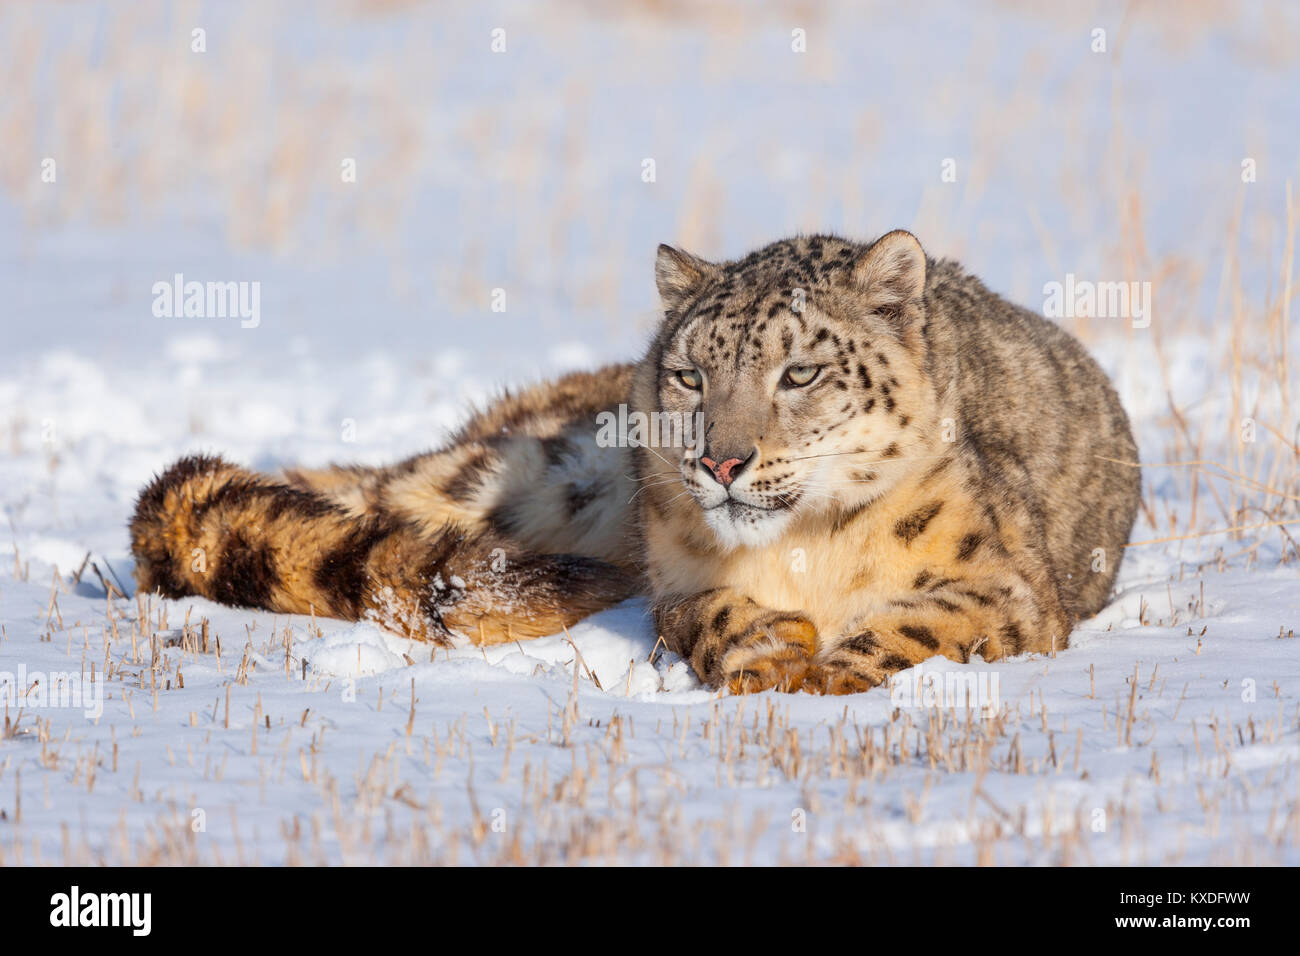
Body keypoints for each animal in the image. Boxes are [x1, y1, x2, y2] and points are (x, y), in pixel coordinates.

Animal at [129, 229, 1140, 695]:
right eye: (692, 373)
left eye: (801, 371)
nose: (723, 463)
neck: (807, 550)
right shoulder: (675, 578)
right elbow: (707, 612)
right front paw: (769, 652)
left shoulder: (1006, 587)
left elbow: (918, 627)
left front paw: (820, 675)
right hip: (538, 478)